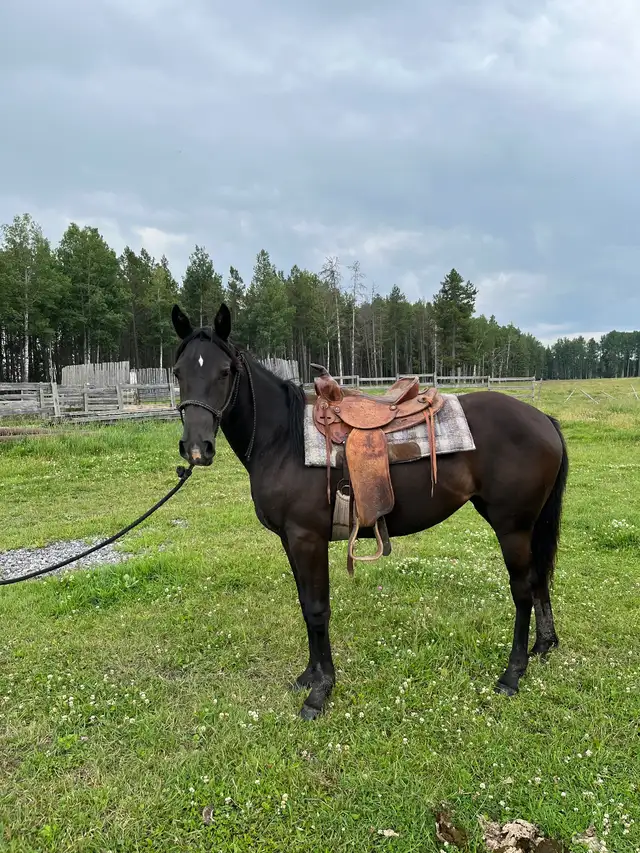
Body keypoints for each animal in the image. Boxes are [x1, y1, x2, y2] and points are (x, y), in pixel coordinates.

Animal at [171, 303, 569, 720]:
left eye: (224, 371)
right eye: (178, 372)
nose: (196, 447)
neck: (283, 440)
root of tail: (542, 419)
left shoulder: (307, 539)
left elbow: (317, 609)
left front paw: (321, 691)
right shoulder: (290, 541)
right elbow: (305, 603)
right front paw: (308, 676)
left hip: (513, 527)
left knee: (522, 590)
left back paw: (512, 673)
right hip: (529, 526)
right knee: (539, 581)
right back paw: (543, 645)